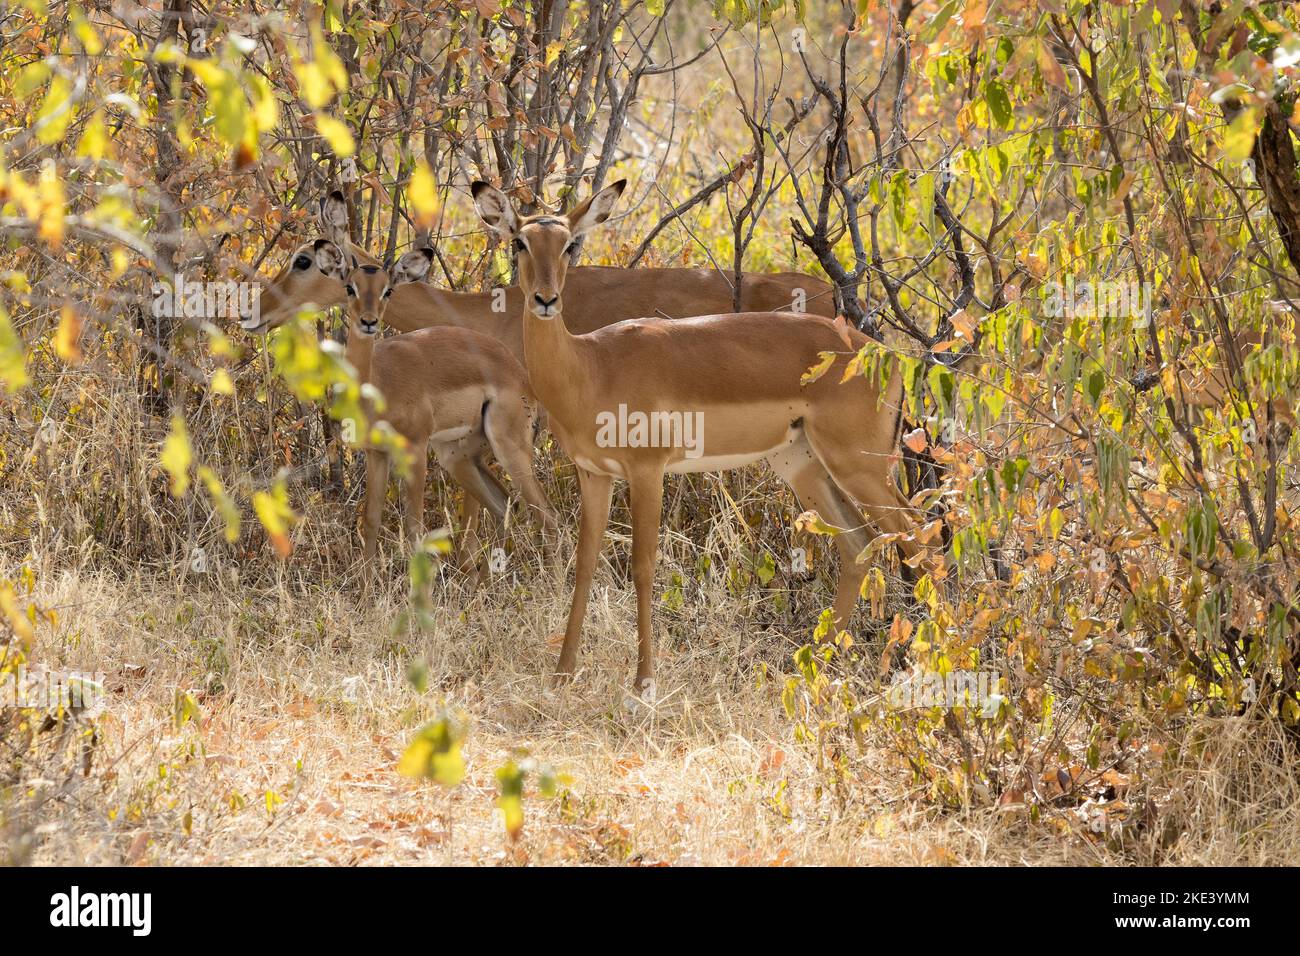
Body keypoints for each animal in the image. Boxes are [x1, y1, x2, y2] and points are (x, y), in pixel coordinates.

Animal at [243, 192, 556, 568]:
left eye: (302, 261)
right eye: (349, 287)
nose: (251, 313)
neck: (378, 382)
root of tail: (517, 373)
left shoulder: (415, 449)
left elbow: (415, 527)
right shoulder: (377, 453)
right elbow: (371, 520)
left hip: (509, 446)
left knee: (547, 514)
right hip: (459, 456)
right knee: (504, 506)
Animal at [471, 179, 923, 697]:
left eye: (569, 244)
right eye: (519, 242)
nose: (545, 299)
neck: (591, 366)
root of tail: (886, 355)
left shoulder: (647, 471)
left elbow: (643, 566)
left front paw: (643, 683)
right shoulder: (595, 474)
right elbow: (584, 563)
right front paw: (562, 675)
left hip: (859, 464)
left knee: (916, 533)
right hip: (802, 464)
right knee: (858, 543)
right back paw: (812, 667)